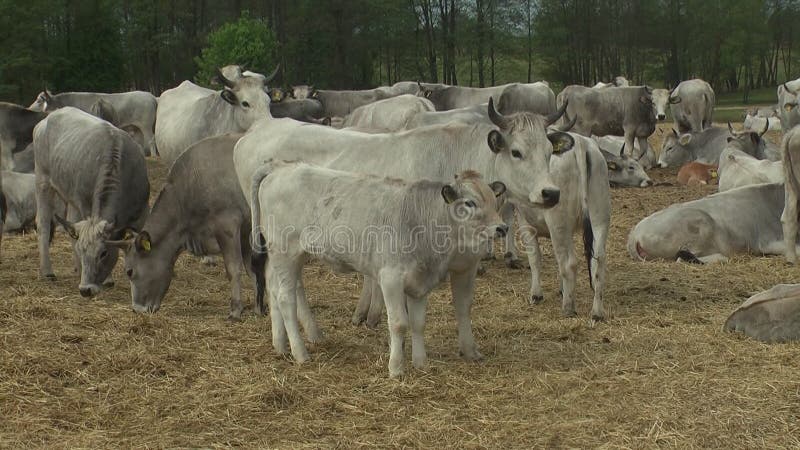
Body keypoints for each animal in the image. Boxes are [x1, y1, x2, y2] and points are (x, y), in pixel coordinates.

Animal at [33, 107, 149, 297]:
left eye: (103, 253)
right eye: (82, 251)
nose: (85, 290)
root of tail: (49, 117)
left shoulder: (142, 213)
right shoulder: (86, 206)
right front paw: (108, 278)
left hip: (70, 196)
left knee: (70, 224)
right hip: (42, 180)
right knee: (43, 223)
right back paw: (48, 271)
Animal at [117, 133, 257, 319]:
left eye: (129, 271)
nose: (137, 309)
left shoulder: (228, 225)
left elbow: (234, 269)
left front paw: (235, 310)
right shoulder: (246, 230)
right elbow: (252, 269)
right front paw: (261, 307)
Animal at [249, 160, 507, 377]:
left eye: (495, 202)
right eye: (470, 203)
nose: (502, 228)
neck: (420, 218)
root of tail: (280, 167)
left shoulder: (419, 281)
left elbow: (418, 323)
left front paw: (421, 363)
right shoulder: (390, 278)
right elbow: (399, 323)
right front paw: (396, 368)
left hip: (288, 257)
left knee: (275, 290)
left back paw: (280, 345)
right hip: (285, 253)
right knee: (285, 299)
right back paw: (300, 353)